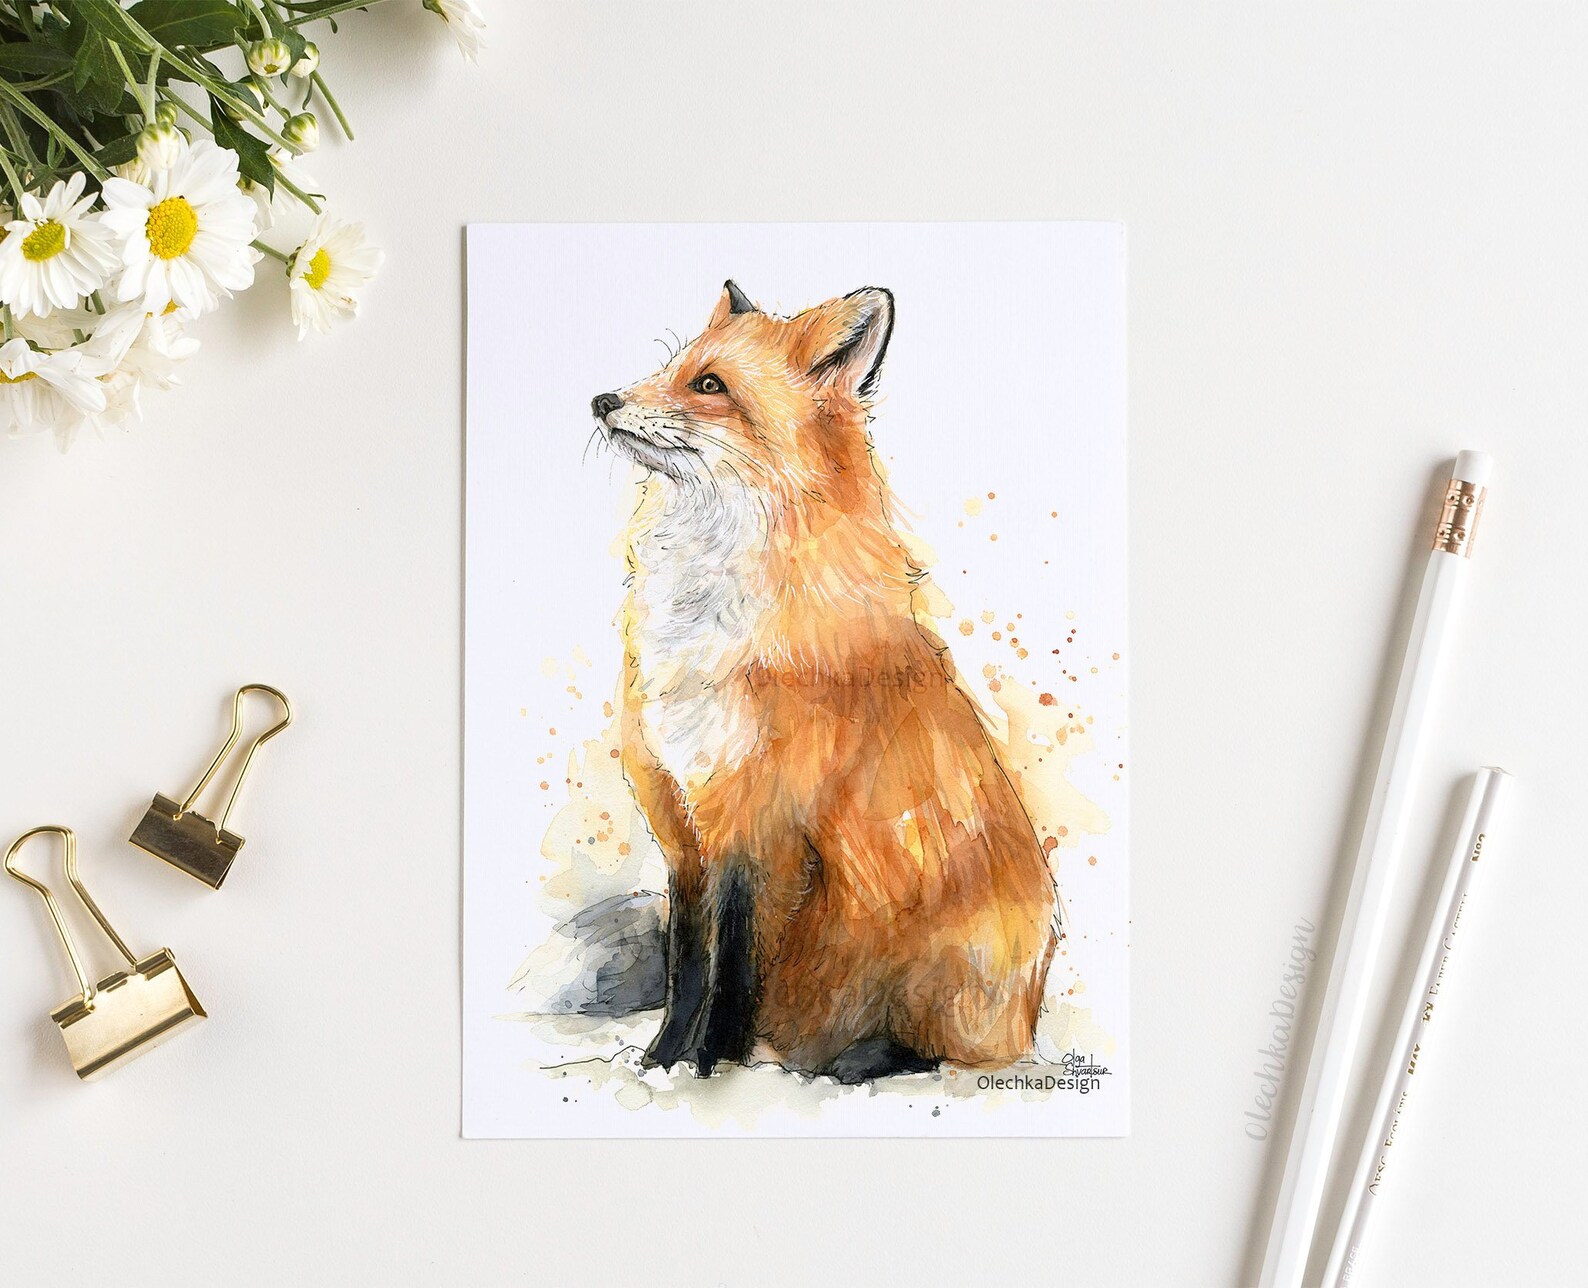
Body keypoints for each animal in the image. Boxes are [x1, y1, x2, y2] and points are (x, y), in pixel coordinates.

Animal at [589, 280, 1057, 1084]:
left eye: (708, 386)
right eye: (672, 370)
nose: (602, 400)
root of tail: (1026, 1016)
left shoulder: (761, 827)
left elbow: (733, 970)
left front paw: (710, 1070)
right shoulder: (683, 825)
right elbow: (689, 968)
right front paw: (661, 1065)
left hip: (959, 964)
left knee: (947, 1054)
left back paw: (855, 1062)